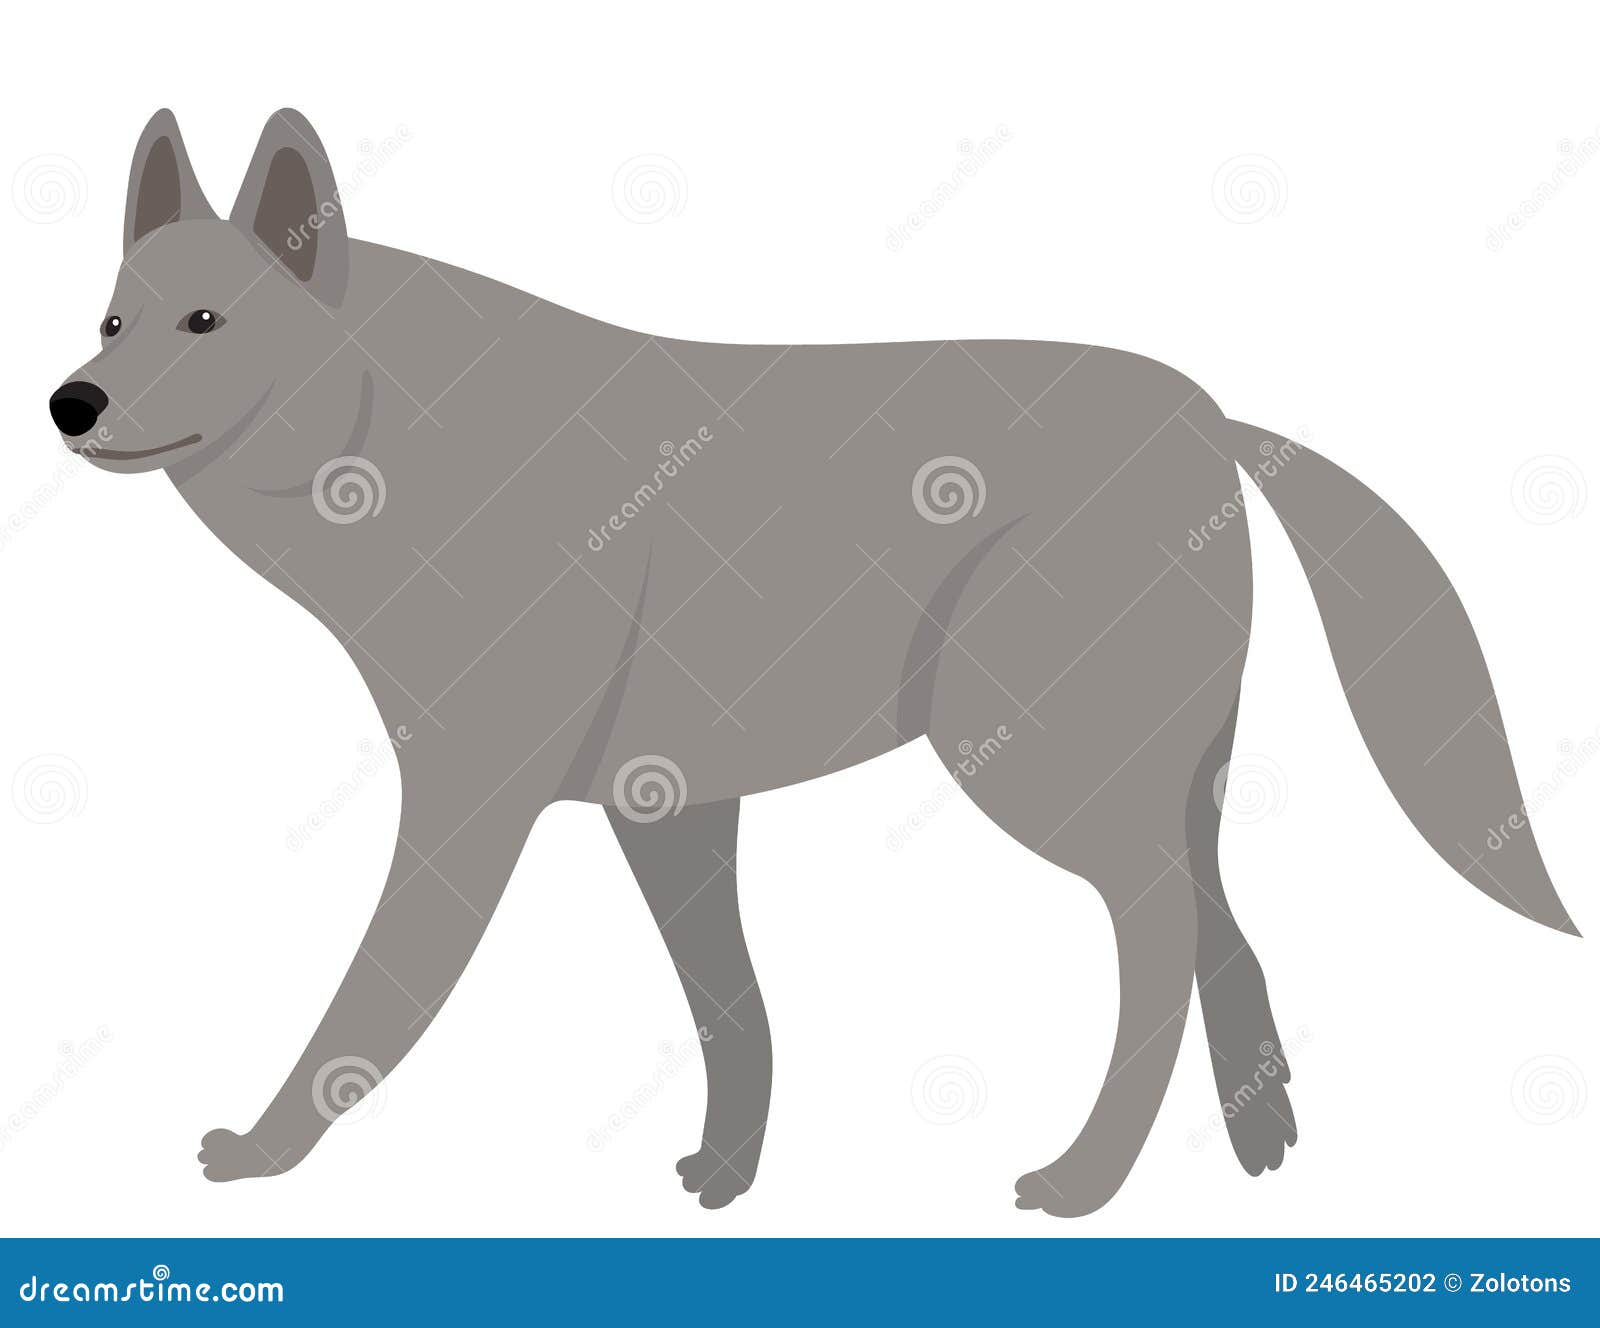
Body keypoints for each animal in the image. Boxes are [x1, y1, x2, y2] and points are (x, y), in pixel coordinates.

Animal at [48, 110, 1578, 1217]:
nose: (70, 400)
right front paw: (729, 1176)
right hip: (1154, 773)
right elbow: (734, 1009)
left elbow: (366, 1012)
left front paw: (263, 1154)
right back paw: (1263, 1149)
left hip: (1030, 768)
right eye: (113, 320)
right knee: (1224, 925)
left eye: (204, 325)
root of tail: (1211, 413)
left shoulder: (468, 814)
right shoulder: (669, 812)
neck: (406, 446)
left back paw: (1086, 1181)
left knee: (1156, 933)